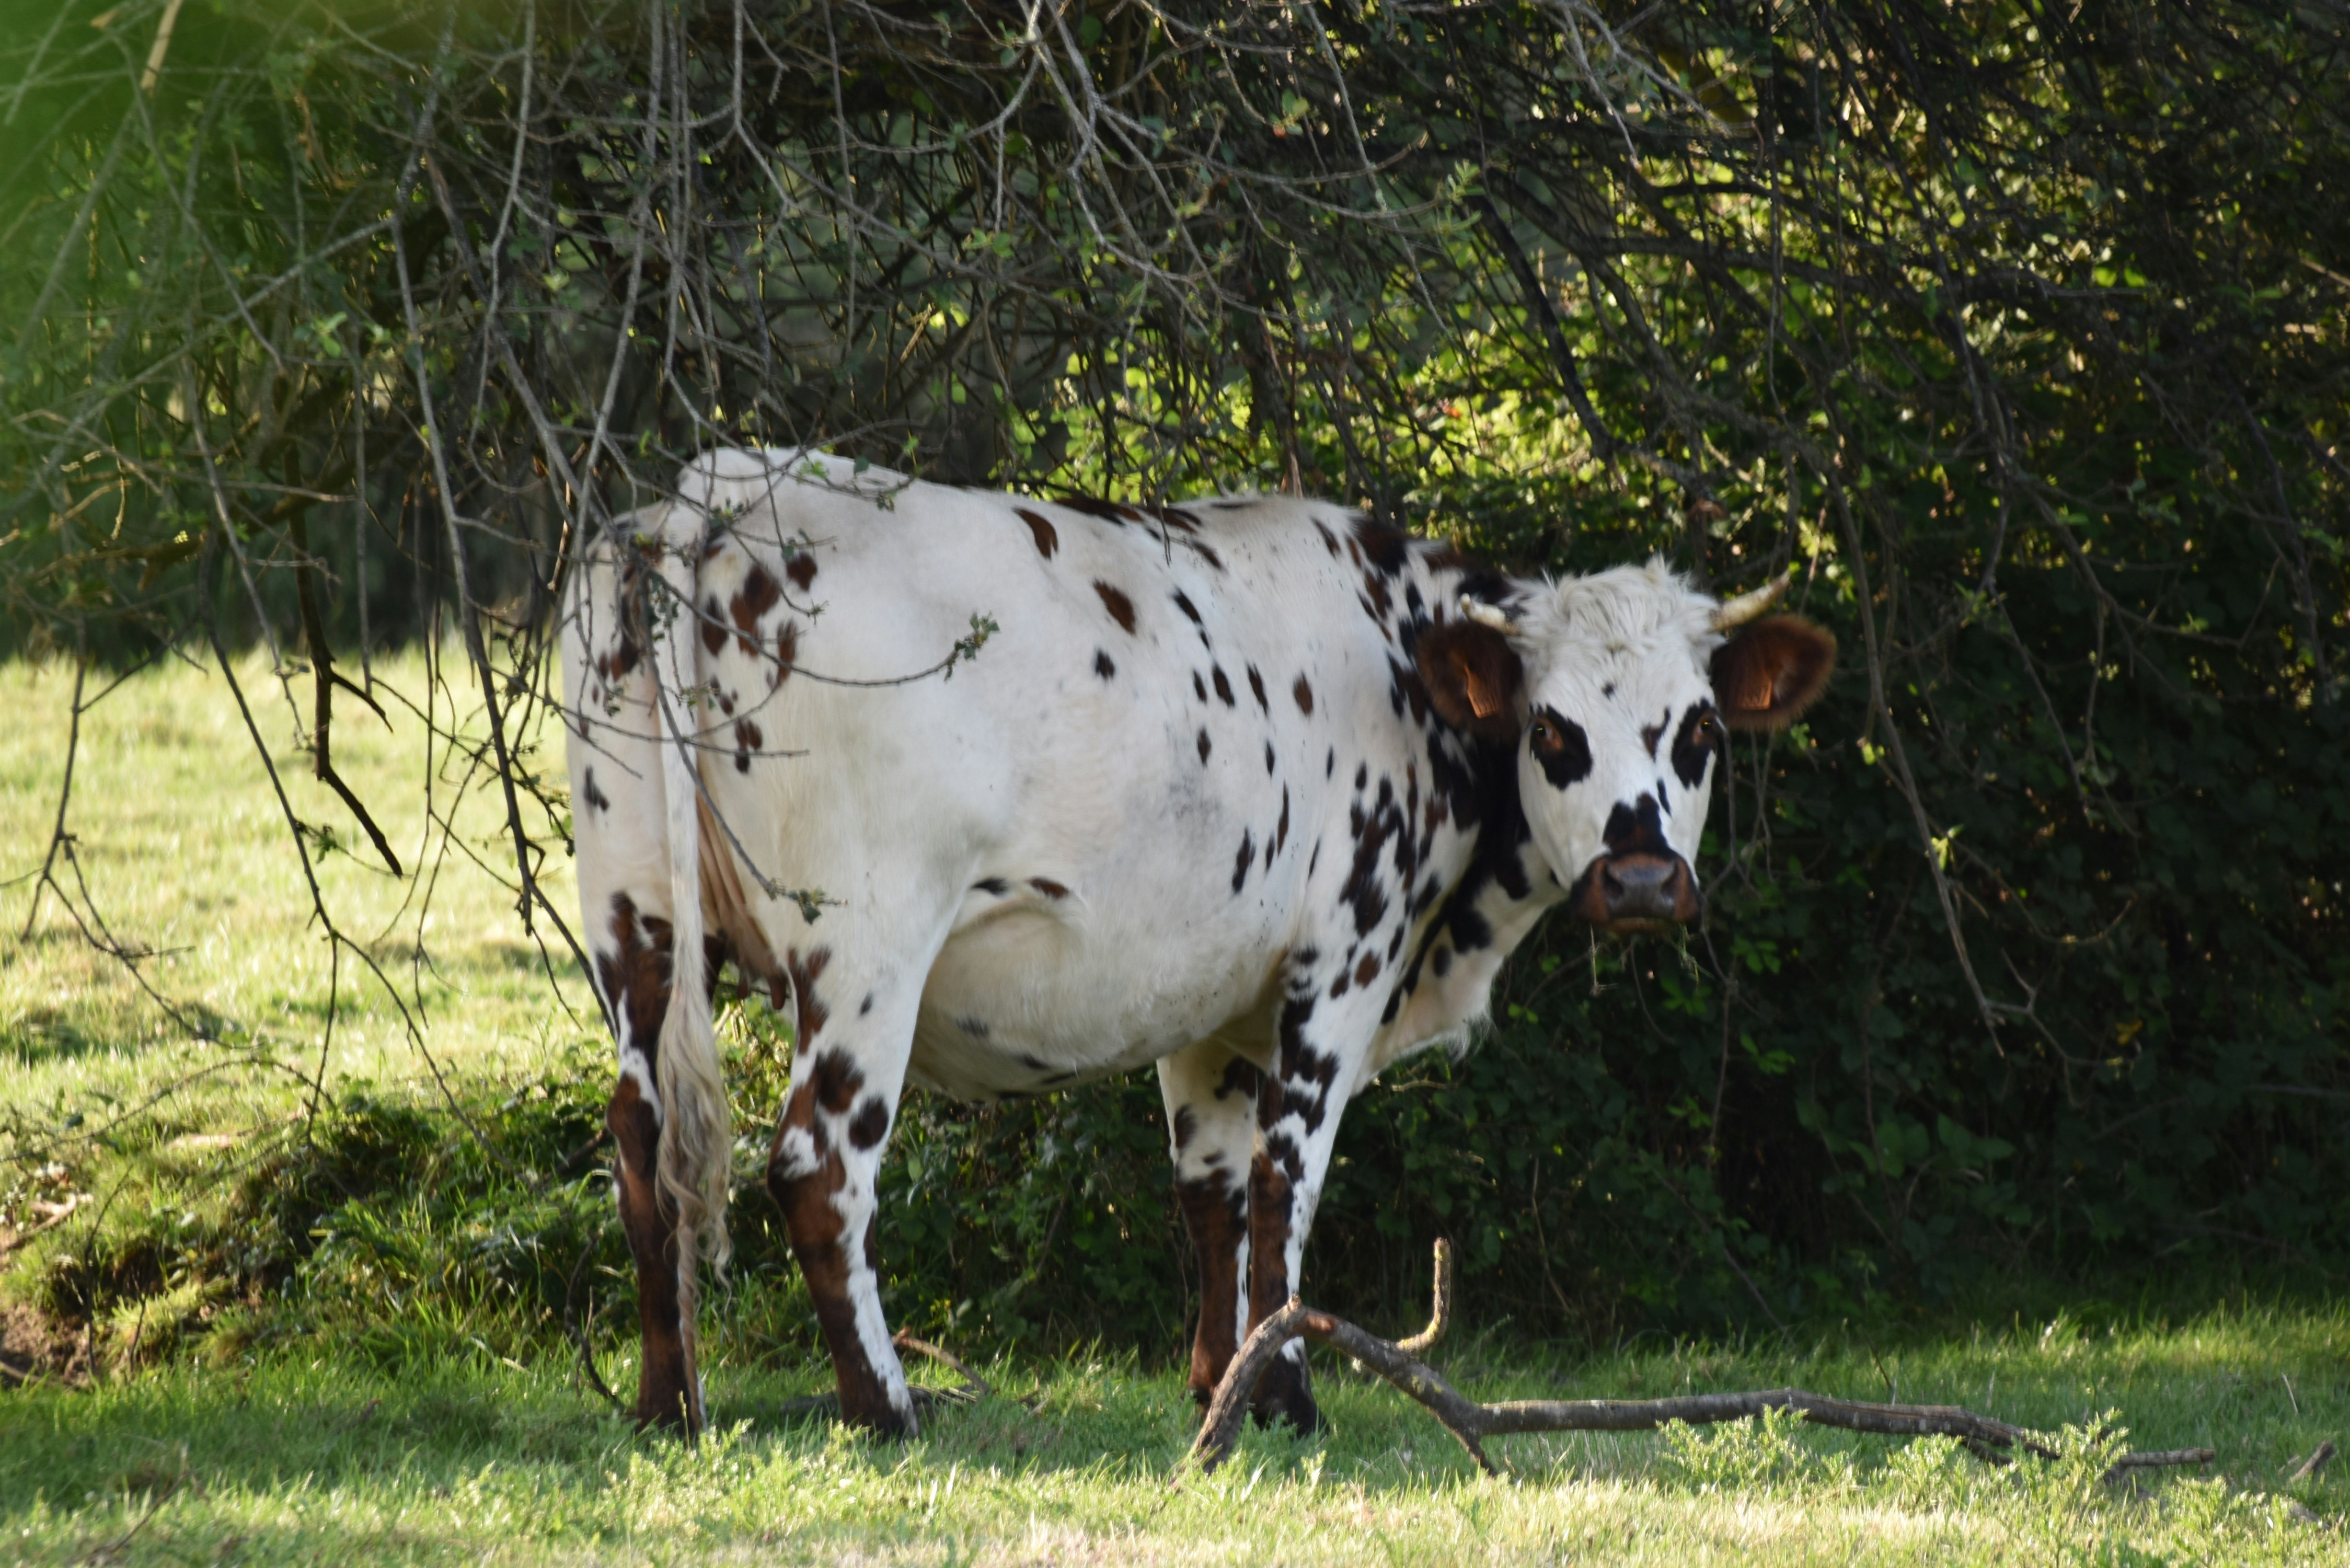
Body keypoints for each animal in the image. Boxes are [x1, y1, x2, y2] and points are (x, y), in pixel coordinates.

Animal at [559, 447, 1835, 1437]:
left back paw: (666, 1408)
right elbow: (1286, 1182)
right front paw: (1289, 1393)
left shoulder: (1210, 1000)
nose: (1641, 879)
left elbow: (1212, 1194)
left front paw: (1222, 1384)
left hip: (631, 919)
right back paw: (884, 1410)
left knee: (642, 1144)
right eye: (1553, 730)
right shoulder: (1344, 957)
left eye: (1701, 729)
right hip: (867, 949)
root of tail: (716, 492)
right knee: (818, 1168)